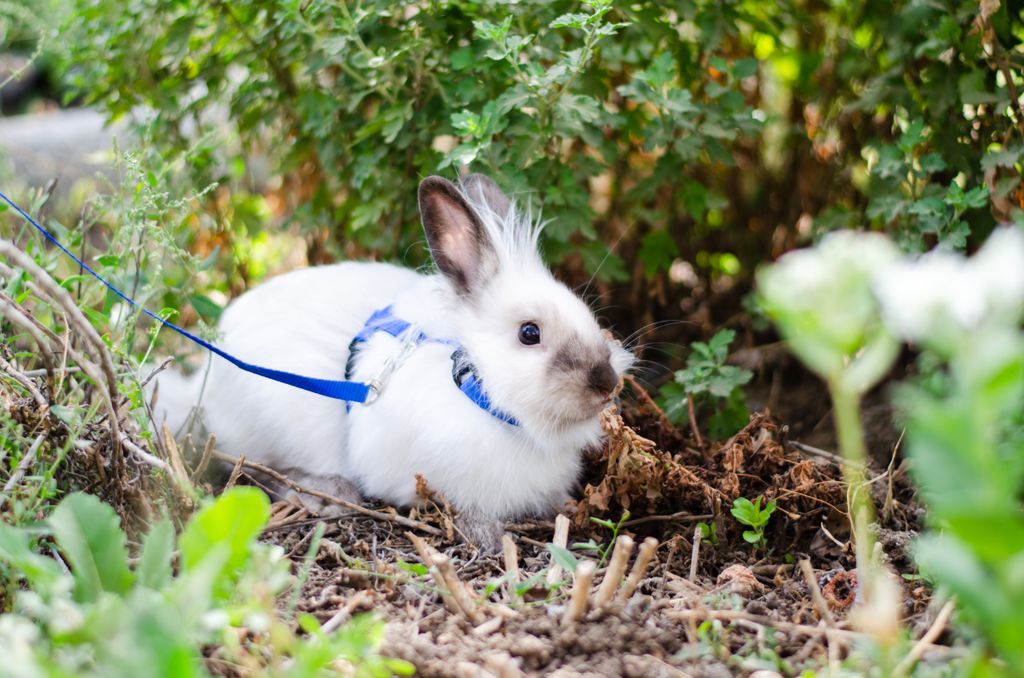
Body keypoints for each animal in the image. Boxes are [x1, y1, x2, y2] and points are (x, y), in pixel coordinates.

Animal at [153, 174, 633, 548]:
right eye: (529, 334)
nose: (606, 381)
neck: (473, 386)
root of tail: (204, 381)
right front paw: (492, 539)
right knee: (257, 471)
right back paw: (326, 493)